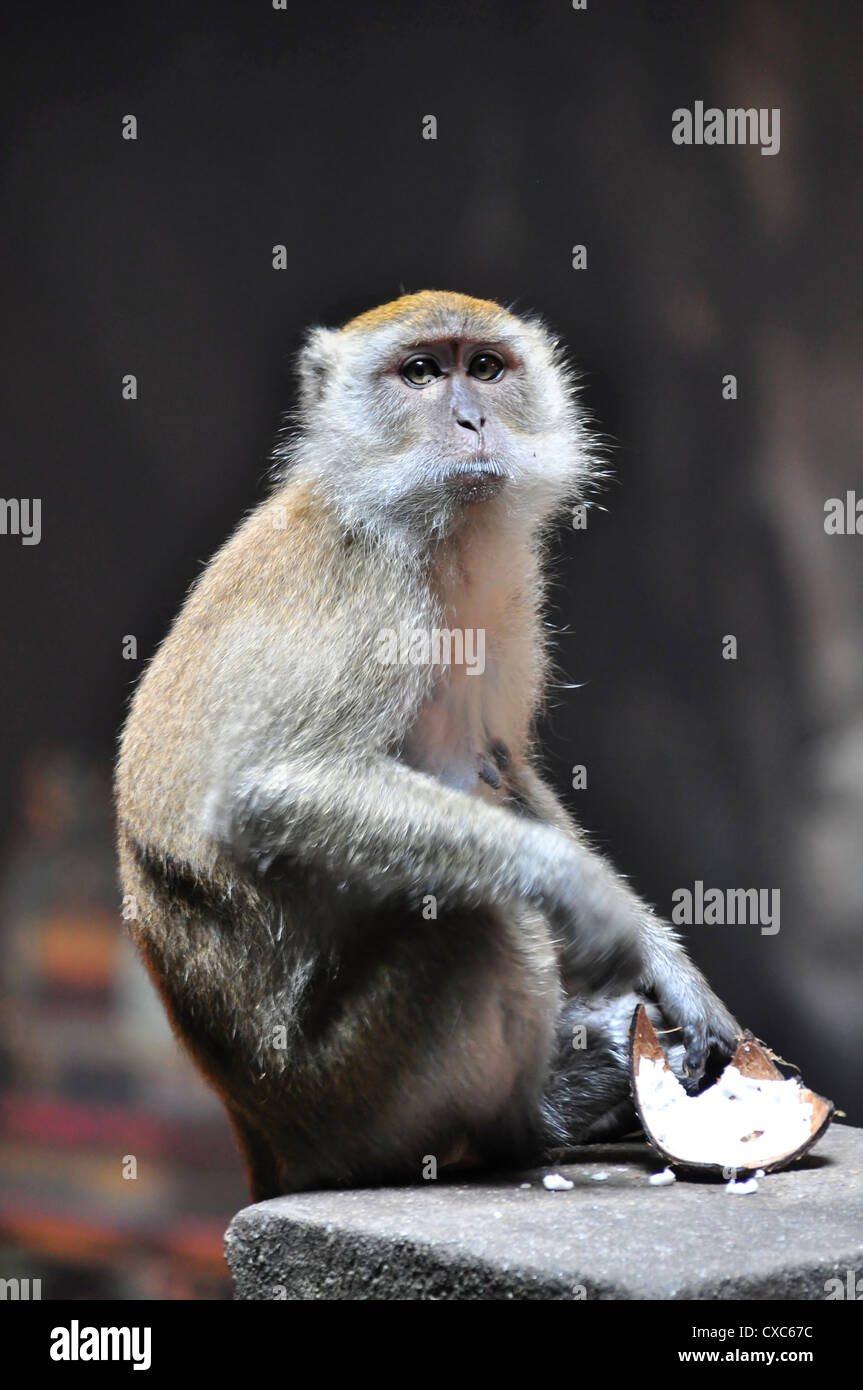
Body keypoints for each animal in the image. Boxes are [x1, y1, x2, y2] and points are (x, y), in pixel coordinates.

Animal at [115, 290, 740, 1199]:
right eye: (419, 373)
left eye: (484, 367)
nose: (472, 418)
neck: (436, 534)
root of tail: (264, 1136)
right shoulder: (370, 589)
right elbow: (266, 794)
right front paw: (580, 891)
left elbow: (499, 764)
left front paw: (673, 973)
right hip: (350, 1093)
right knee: (469, 920)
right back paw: (533, 1122)